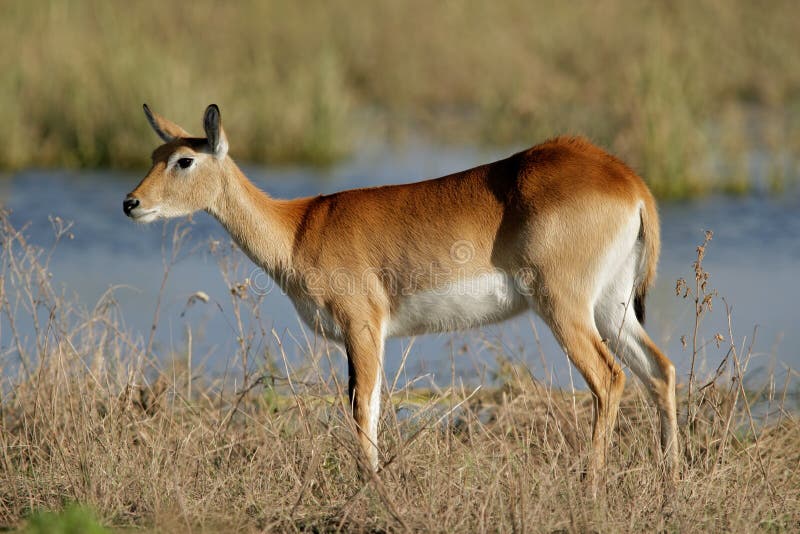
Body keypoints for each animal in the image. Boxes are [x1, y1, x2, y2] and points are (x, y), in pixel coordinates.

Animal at [124, 104, 679, 481]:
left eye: (183, 161)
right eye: (155, 154)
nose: (131, 203)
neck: (299, 228)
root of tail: (628, 182)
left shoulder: (362, 326)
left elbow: (361, 408)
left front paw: (371, 487)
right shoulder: (371, 335)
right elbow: (369, 405)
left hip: (564, 308)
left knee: (609, 378)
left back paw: (591, 487)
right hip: (611, 307)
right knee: (659, 370)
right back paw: (669, 483)